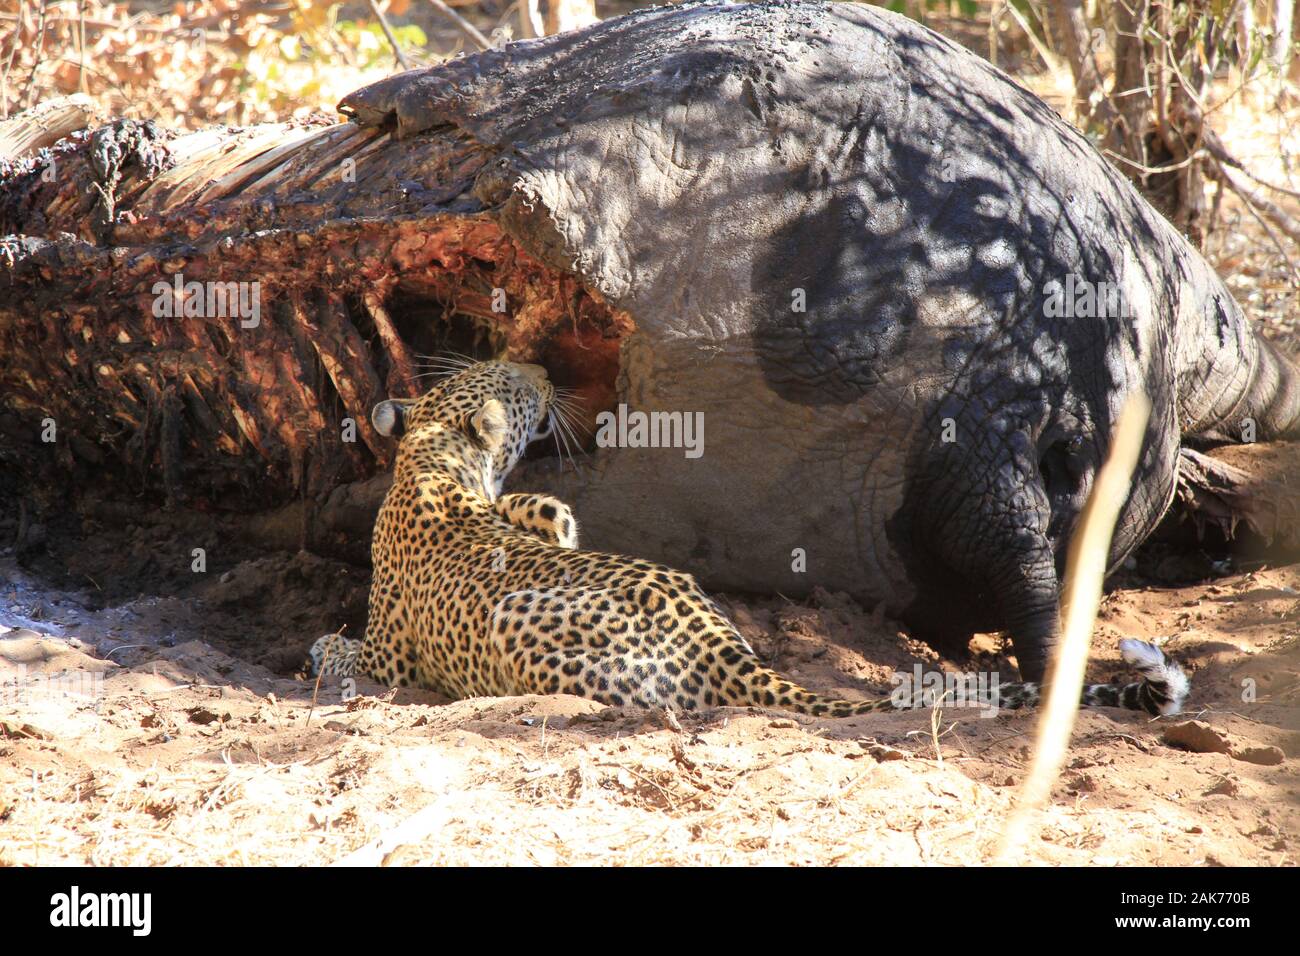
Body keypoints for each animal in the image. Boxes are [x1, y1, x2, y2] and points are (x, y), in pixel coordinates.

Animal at [308, 360, 1190, 718]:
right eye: (514, 386)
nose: (544, 371)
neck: (433, 458)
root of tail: (726, 652)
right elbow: (551, 515)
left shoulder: (392, 656)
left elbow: (346, 652)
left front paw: (321, 647)